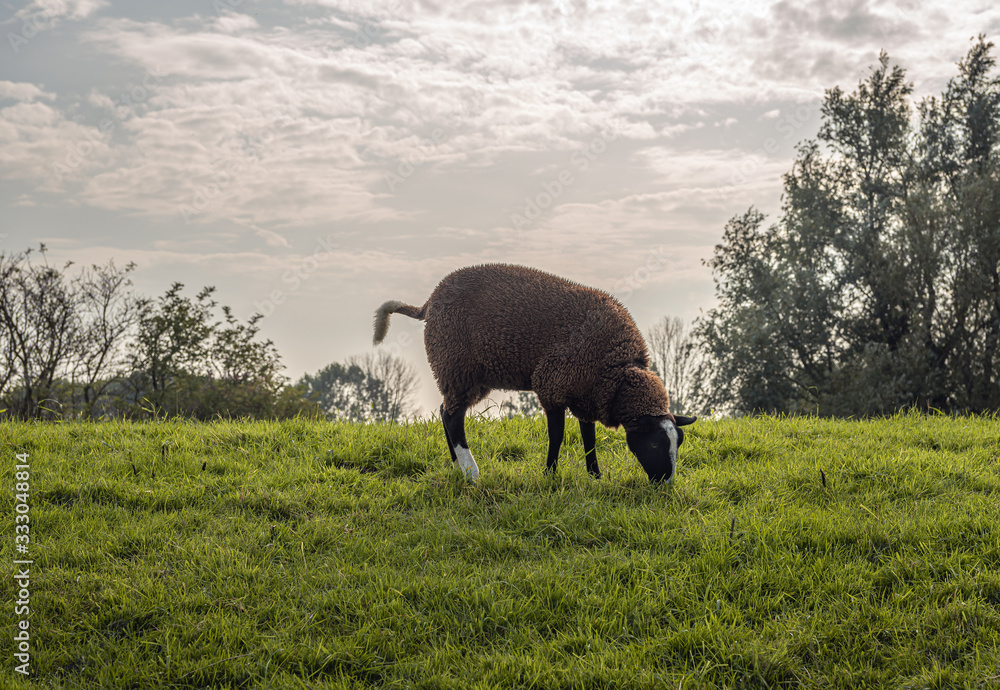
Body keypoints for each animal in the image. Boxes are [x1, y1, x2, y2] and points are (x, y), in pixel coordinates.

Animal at [372, 263, 696, 482]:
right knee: (453, 418)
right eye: (654, 442)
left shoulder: (587, 393)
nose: (666, 484)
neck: (618, 372)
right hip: (456, 365)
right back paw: (471, 472)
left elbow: (588, 438)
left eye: (678, 441)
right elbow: (558, 435)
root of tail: (429, 302)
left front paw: (595, 476)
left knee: (445, 412)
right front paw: (550, 474)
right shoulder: (552, 385)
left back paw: (457, 467)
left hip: (467, 376)